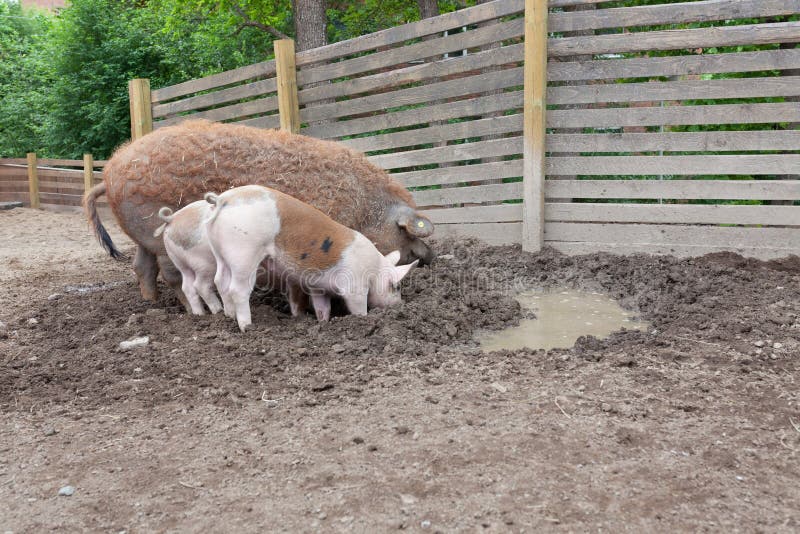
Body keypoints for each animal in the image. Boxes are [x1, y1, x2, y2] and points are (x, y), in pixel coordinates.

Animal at [83, 119, 434, 309]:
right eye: (405, 232)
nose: (430, 255)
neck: (365, 209)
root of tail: (110, 171)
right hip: (161, 234)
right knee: (173, 276)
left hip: (143, 236)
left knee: (141, 267)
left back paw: (151, 304)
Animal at [204, 185, 417, 332]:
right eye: (397, 287)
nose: (400, 306)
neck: (375, 269)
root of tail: (222, 199)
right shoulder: (355, 285)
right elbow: (358, 307)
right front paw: (362, 320)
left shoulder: (318, 287)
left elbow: (323, 307)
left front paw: (322, 323)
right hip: (244, 252)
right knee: (237, 289)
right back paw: (247, 326)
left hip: (219, 252)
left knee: (220, 281)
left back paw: (229, 316)